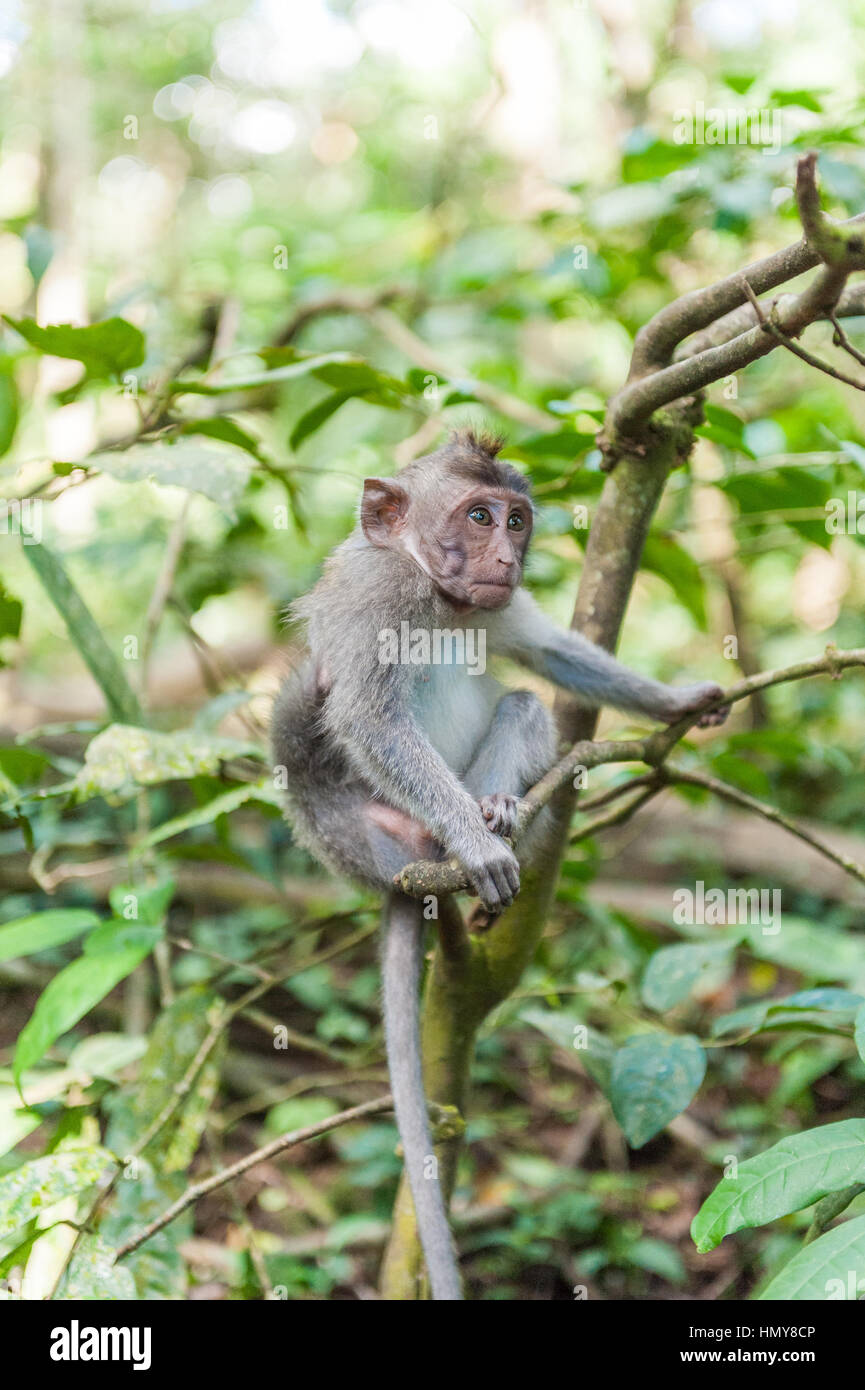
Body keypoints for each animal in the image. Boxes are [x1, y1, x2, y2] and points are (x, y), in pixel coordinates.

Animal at [271, 429, 727, 1300]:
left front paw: (676, 699)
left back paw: (499, 814)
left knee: (520, 703)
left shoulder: (496, 605)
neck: (436, 596)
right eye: (477, 517)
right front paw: (476, 845)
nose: (507, 556)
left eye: (516, 520)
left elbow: (550, 654)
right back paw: (464, 844)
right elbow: (365, 716)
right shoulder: (378, 597)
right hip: (359, 831)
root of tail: (390, 877)